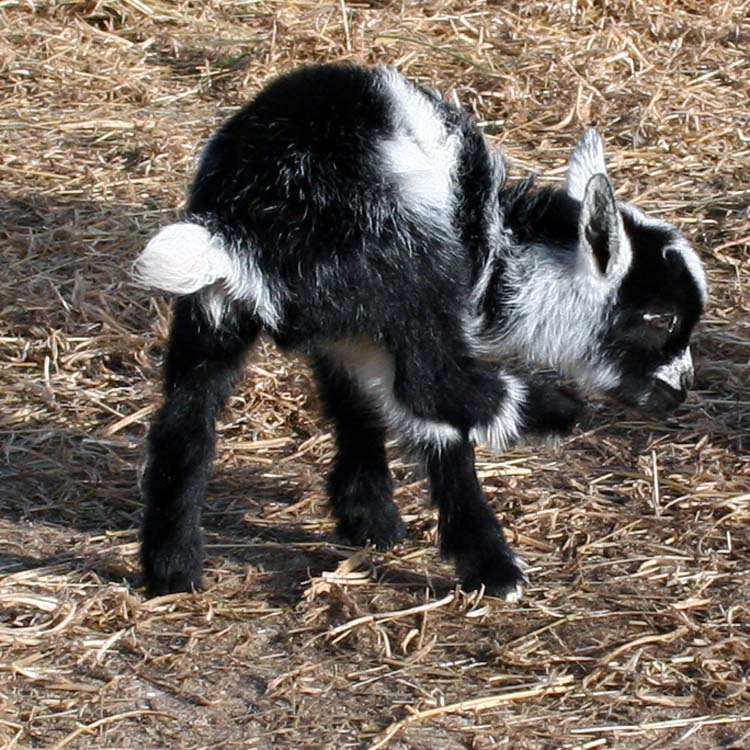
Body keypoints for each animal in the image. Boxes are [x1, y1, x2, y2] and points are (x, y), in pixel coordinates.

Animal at [134, 64, 707, 600]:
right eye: (659, 318)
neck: (501, 249)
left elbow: (360, 406)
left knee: (185, 424)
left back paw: (172, 567)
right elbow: (432, 417)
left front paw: (368, 516)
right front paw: (484, 561)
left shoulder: (354, 335)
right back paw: (549, 423)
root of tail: (255, 215)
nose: (680, 390)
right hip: (410, 260)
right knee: (432, 386)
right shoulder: (416, 313)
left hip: (213, 305)